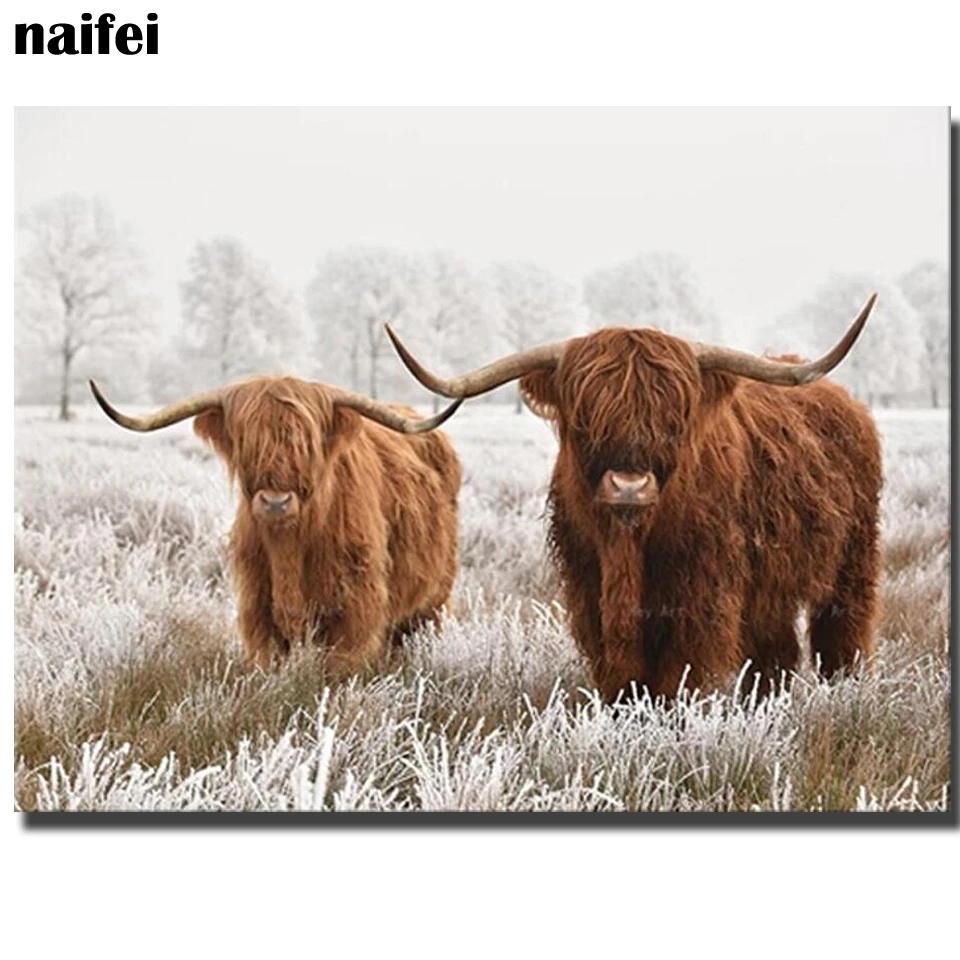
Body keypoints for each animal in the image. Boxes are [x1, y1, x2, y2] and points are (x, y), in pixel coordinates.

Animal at [90, 376, 462, 676]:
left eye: (306, 444)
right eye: (247, 442)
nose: (275, 502)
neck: (289, 548)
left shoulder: (356, 610)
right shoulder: (258, 609)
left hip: (433, 600)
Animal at [385, 295, 882, 702]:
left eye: (673, 420)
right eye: (585, 419)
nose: (628, 486)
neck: (628, 547)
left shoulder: (701, 599)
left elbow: (675, 678)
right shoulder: (589, 592)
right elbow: (622, 679)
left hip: (852, 564)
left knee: (842, 635)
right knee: (775, 652)